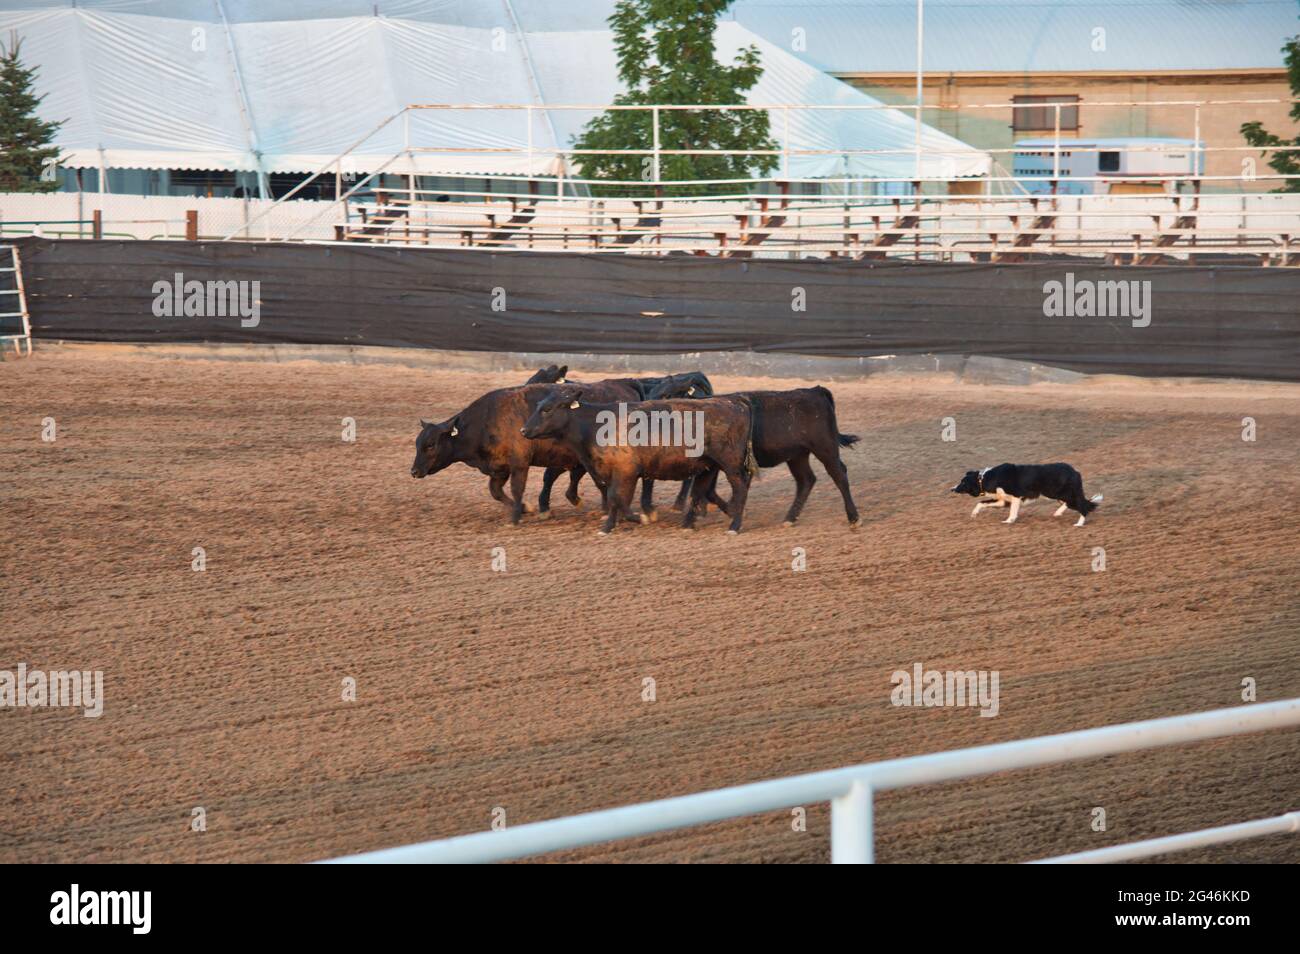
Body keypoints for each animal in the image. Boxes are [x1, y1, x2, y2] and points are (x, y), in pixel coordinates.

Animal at [520, 387, 757, 535]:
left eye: (547, 409)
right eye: (539, 406)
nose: (523, 430)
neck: (595, 425)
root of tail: (733, 401)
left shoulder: (626, 471)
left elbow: (617, 499)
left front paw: (633, 519)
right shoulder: (616, 473)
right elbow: (615, 500)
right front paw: (612, 524)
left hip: (731, 464)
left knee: (740, 487)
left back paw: (735, 525)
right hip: (707, 465)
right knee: (700, 490)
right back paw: (689, 524)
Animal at [644, 381, 862, 529]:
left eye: (668, 396)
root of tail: (815, 390)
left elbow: (711, 490)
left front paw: (733, 512)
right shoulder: (713, 465)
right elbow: (707, 490)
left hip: (825, 448)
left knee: (839, 475)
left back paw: (853, 518)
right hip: (797, 455)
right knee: (806, 480)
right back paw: (789, 519)